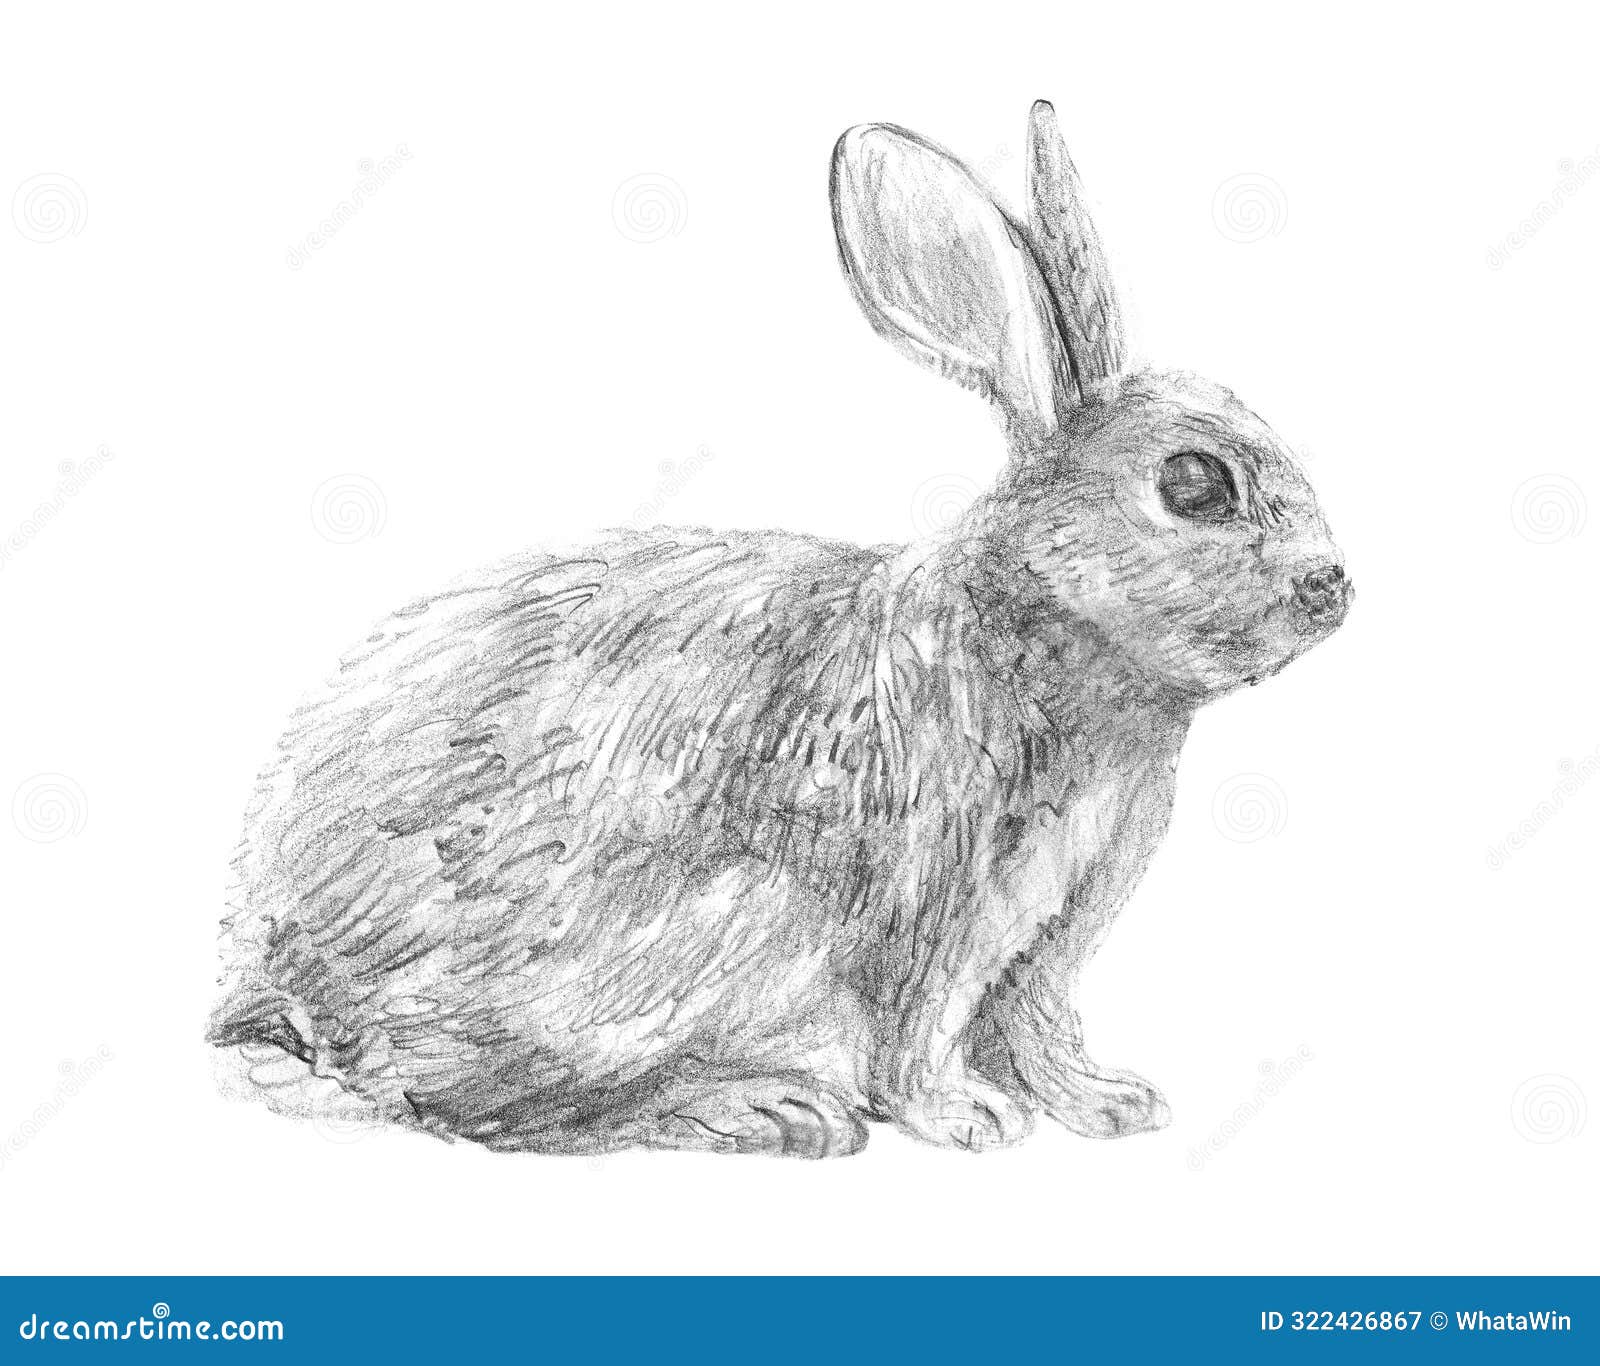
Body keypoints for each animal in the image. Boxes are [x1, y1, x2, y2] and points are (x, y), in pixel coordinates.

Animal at [210, 101, 1350, 1157]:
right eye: (1193, 484)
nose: (1334, 584)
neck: (1041, 627)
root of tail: (277, 950)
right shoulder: (939, 898)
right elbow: (920, 1027)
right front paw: (966, 1119)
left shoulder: (1048, 937)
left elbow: (1034, 1026)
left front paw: (1107, 1103)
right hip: (647, 962)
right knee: (485, 1104)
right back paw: (758, 1105)